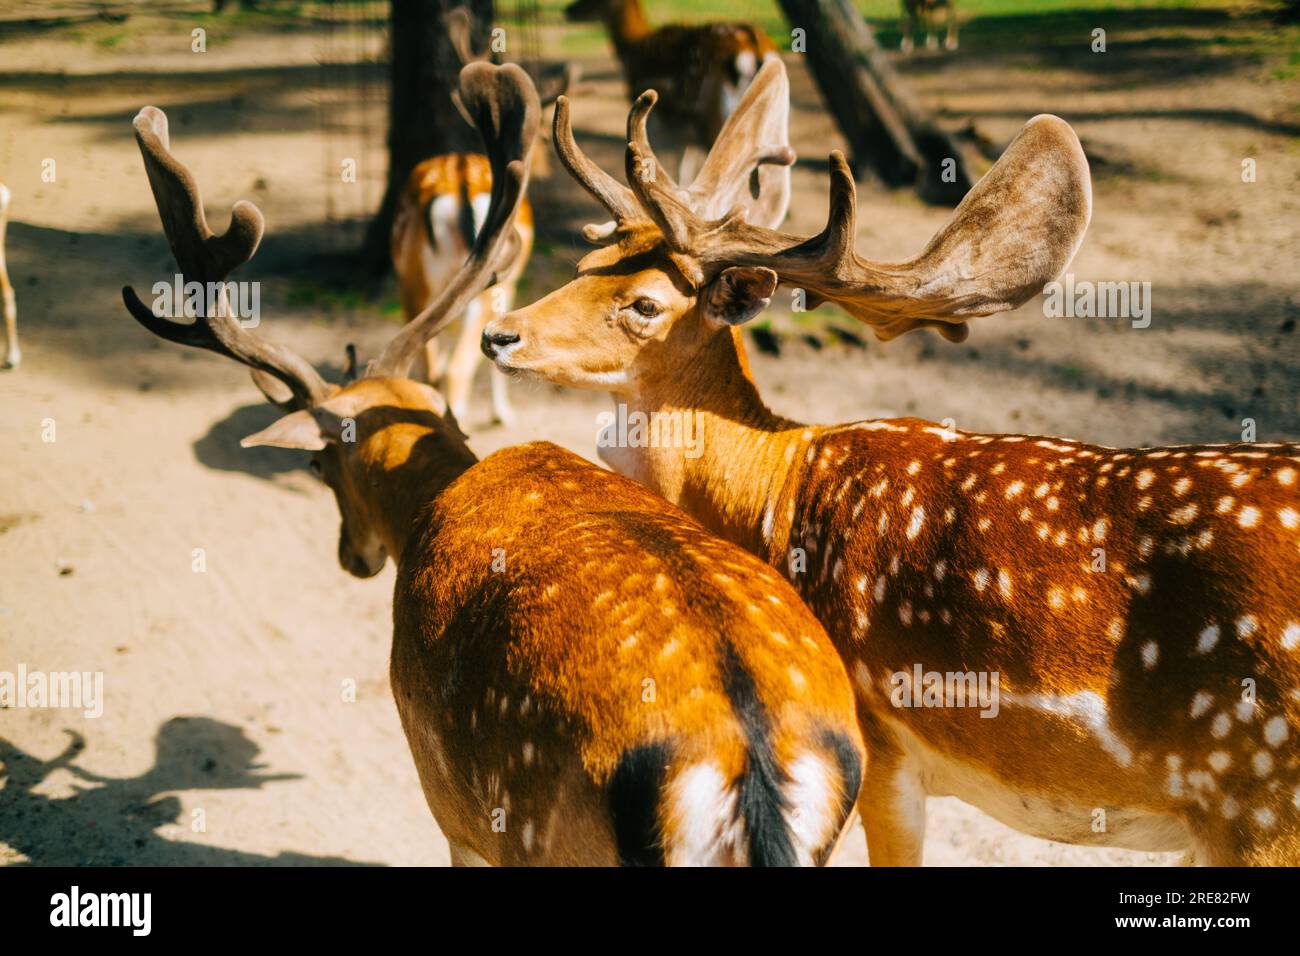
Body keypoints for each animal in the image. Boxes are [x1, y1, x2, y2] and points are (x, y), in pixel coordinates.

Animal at [120, 63, 864, 867]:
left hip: (543, 826)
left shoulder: (450, 803)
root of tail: (748, 753)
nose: (351, 557)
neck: (432, 500)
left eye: (320, 468)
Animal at [391, 7, 577, 426]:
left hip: (416, 280)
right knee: (456, 370)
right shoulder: (512, 279)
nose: (544, 167)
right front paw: (502, 413)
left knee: (431, 365)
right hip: (487, 280)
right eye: (543, 137)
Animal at [483, 59, 1300, 865]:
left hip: (1259, 795)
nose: (499, 333)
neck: (773, 500)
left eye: (646, 304)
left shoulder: (882, 742)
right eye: (587, 261)